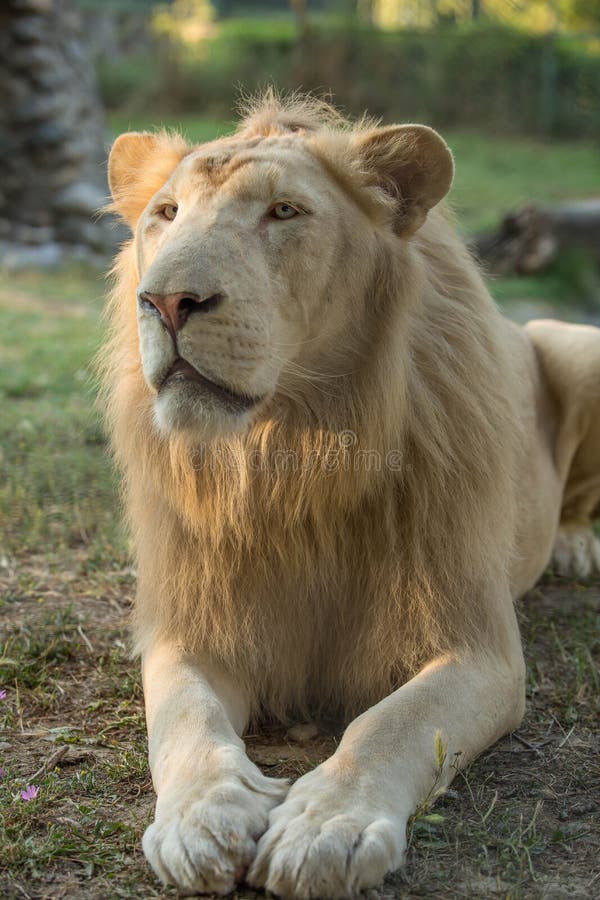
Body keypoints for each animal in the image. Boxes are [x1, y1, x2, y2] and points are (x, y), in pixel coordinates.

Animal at [102, 92, 600, 898]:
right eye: (167, 213)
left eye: (283, 211)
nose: (168, 301)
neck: (293, 451)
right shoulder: (190, 626)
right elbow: (184, 718)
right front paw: (201, 819)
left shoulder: (481, 649)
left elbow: (391, 723)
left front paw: (325, 826)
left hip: (575, 342)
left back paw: (578, 544)